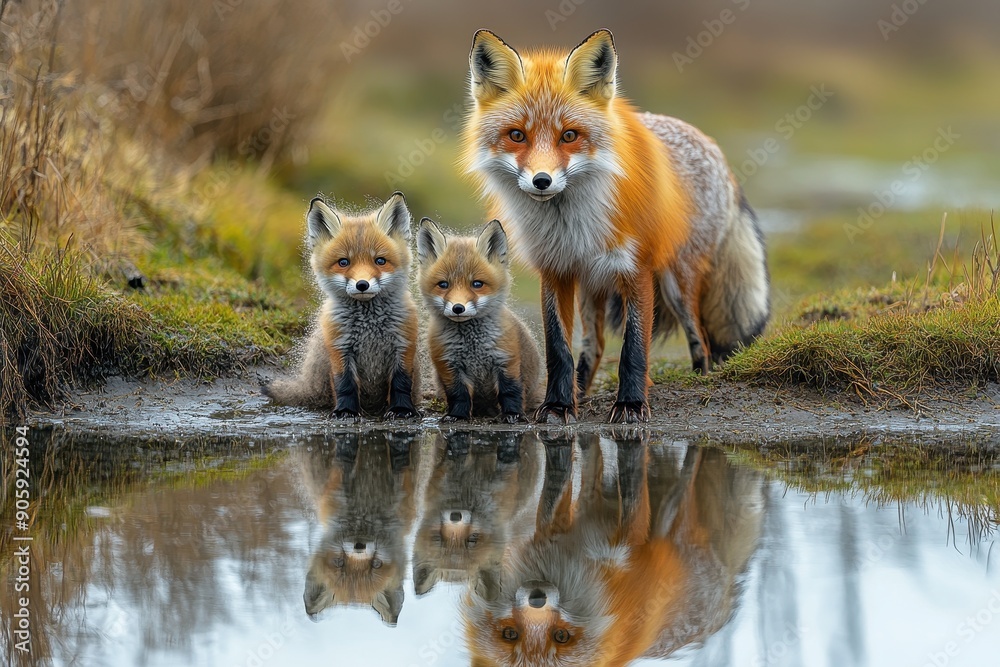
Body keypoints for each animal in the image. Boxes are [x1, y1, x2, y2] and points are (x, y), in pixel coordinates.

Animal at [263, 192, 421, 420]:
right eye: (344, 262)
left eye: (380, 261)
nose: (362, 285)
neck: (369, 326)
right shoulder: (340, 347)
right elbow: (345, 385)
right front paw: (346, 411)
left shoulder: (403, 344)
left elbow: (401, 384)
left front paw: (401, 410)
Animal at [416, 218, 542, 422]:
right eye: (443, 284)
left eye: (477, 284)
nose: (458, 308)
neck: (472, 345)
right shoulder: (449, 366)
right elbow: (458, 395)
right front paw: (458, 416)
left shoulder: (506, 360)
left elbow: (510, 392)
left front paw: (512, 415)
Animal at [461, 29, 770, 424]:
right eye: (517, 136)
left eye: (569, 136)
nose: (542, 181)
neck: (570, 224)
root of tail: (711, 144)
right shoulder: (556, 270)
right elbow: (559, 348)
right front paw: (559, 405)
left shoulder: (636, 270)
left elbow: (634, 349)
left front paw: (631, 405)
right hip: (592, 285)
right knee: (593, 348)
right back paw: (579, 391)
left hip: (677, 282)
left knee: (699, 336)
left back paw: (701, 379)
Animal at [463, 433, 764, 667]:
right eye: (510, 634)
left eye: (561, 636)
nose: (537, 598)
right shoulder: (553, 529)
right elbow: (558, 486)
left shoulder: (629, 539)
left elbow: (630, 487)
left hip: (673, 518)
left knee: (687, 475)